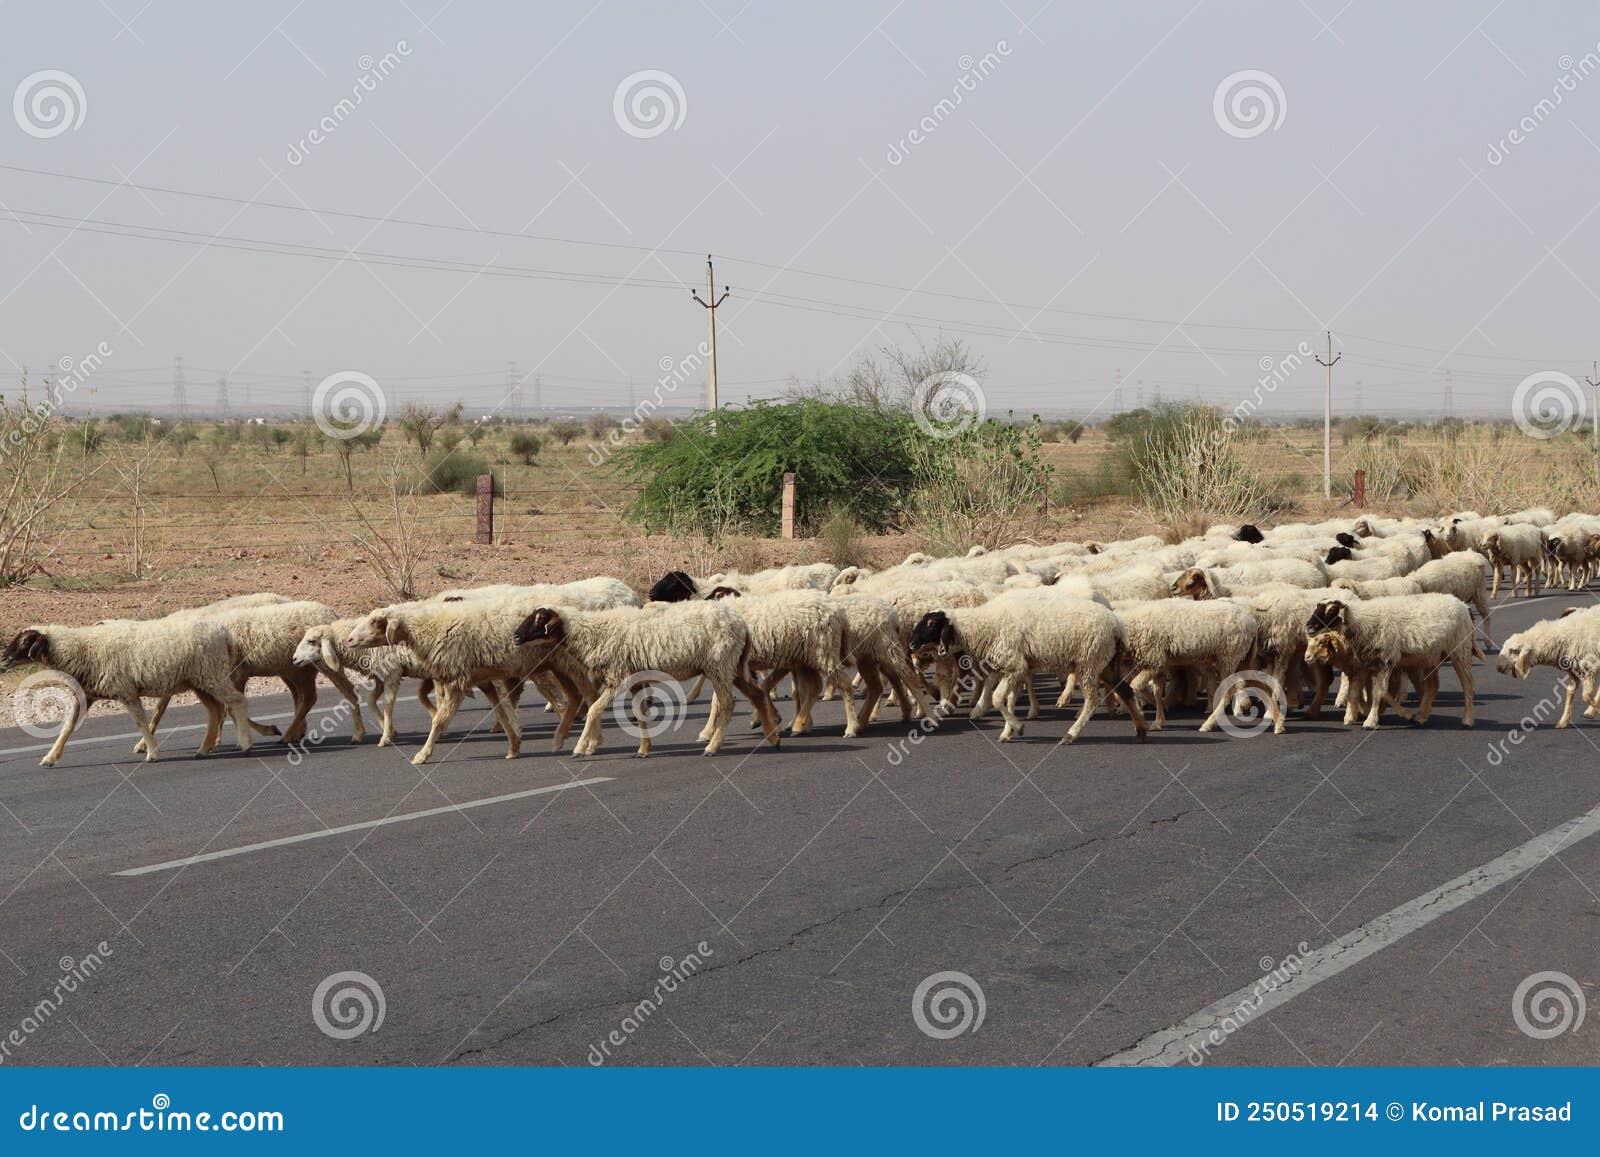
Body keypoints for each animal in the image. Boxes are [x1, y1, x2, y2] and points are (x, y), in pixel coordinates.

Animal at [2, 620, 254, 766]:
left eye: (24, 642)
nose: (3, 658)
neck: (82, 650)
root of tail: (223, 632)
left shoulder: (126, 691)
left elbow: (141, 723)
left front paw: (152, 753)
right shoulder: (87, 694)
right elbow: (68, 727)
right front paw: (50, 757)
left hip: (212, 674)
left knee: (236, 701)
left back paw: (245, 744)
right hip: (199, 680)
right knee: (215, 711)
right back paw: (203, 750)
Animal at [511, 601, 781, 757]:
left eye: (539, 619)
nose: (514, 636)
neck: (592, 633)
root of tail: (741, 623)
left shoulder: (617, 675)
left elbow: (594, 709)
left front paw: (580, 748)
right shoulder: (635, 678)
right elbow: (640, 714)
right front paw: (643, 749)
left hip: (720, 664)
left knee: (727, 704)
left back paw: (712, 746)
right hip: (732, 666)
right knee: (757, 694)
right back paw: (773, 738)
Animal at [908, 599, 1146, 743]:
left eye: (931, 623)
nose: (911, 644)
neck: (984, 627)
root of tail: (1116, 624)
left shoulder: (1014, 664)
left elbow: (997, 698)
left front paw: (1017, 727)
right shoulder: (1011, 667)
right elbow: (1007, 699)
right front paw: (1007, 732)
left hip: (1089, 661)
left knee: (1093, 699)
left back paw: (1071, 734)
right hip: (1105, 663)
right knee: (1126, 691)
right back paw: (1141, 729)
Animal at [1302, 594, 1476, 728]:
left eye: (1331, 610)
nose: (1309, 626)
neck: (1361, 622)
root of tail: (1462, 604)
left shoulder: (1387, 660)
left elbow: (1378, 692)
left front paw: (1370, 722)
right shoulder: (1369, 664)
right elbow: (1373, 692)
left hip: (1461, 651)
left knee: (1467, 685)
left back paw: (1467, 719)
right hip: (1430, 657)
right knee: (1432, 686)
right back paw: (1421, 716)